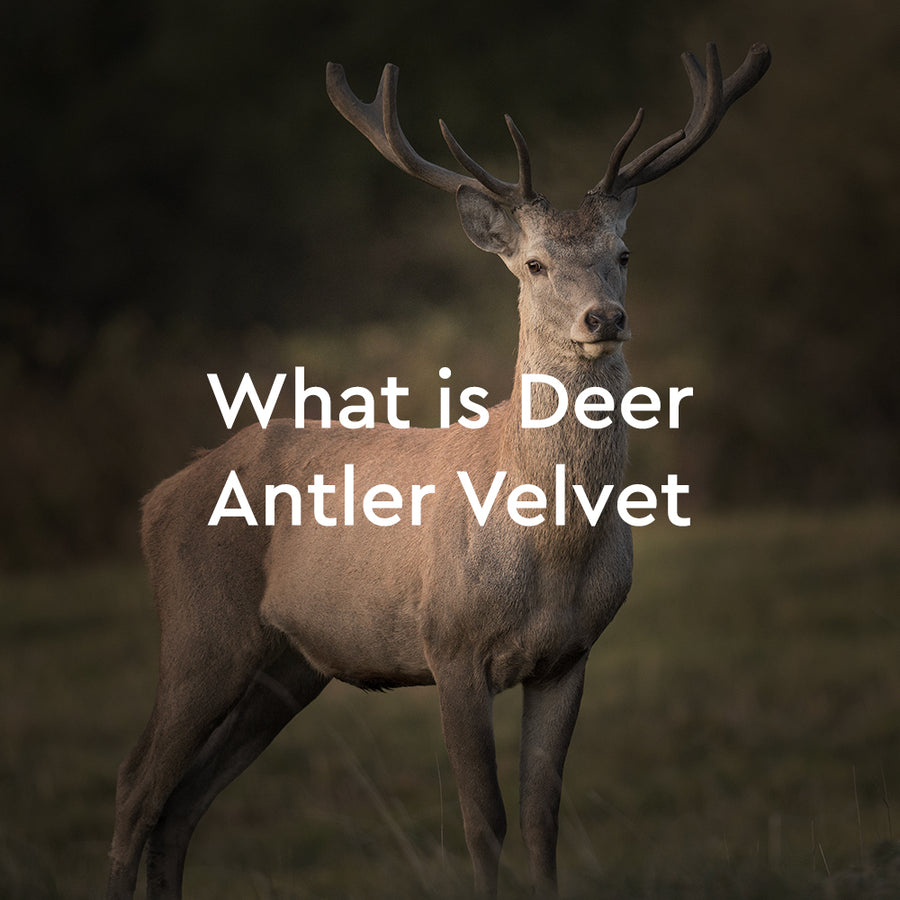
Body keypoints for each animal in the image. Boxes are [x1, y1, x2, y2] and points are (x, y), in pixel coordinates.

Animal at [107, 42, 770, 899]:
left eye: (623, 254)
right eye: (534, 264)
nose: (605, 318)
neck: (551, 547)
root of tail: (157, 497)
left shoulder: (570, 655)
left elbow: (543, 821)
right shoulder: (449, 643)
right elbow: (483, 822)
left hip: (288, 665)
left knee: (182, 803)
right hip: (200, 631)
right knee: (136, 786)